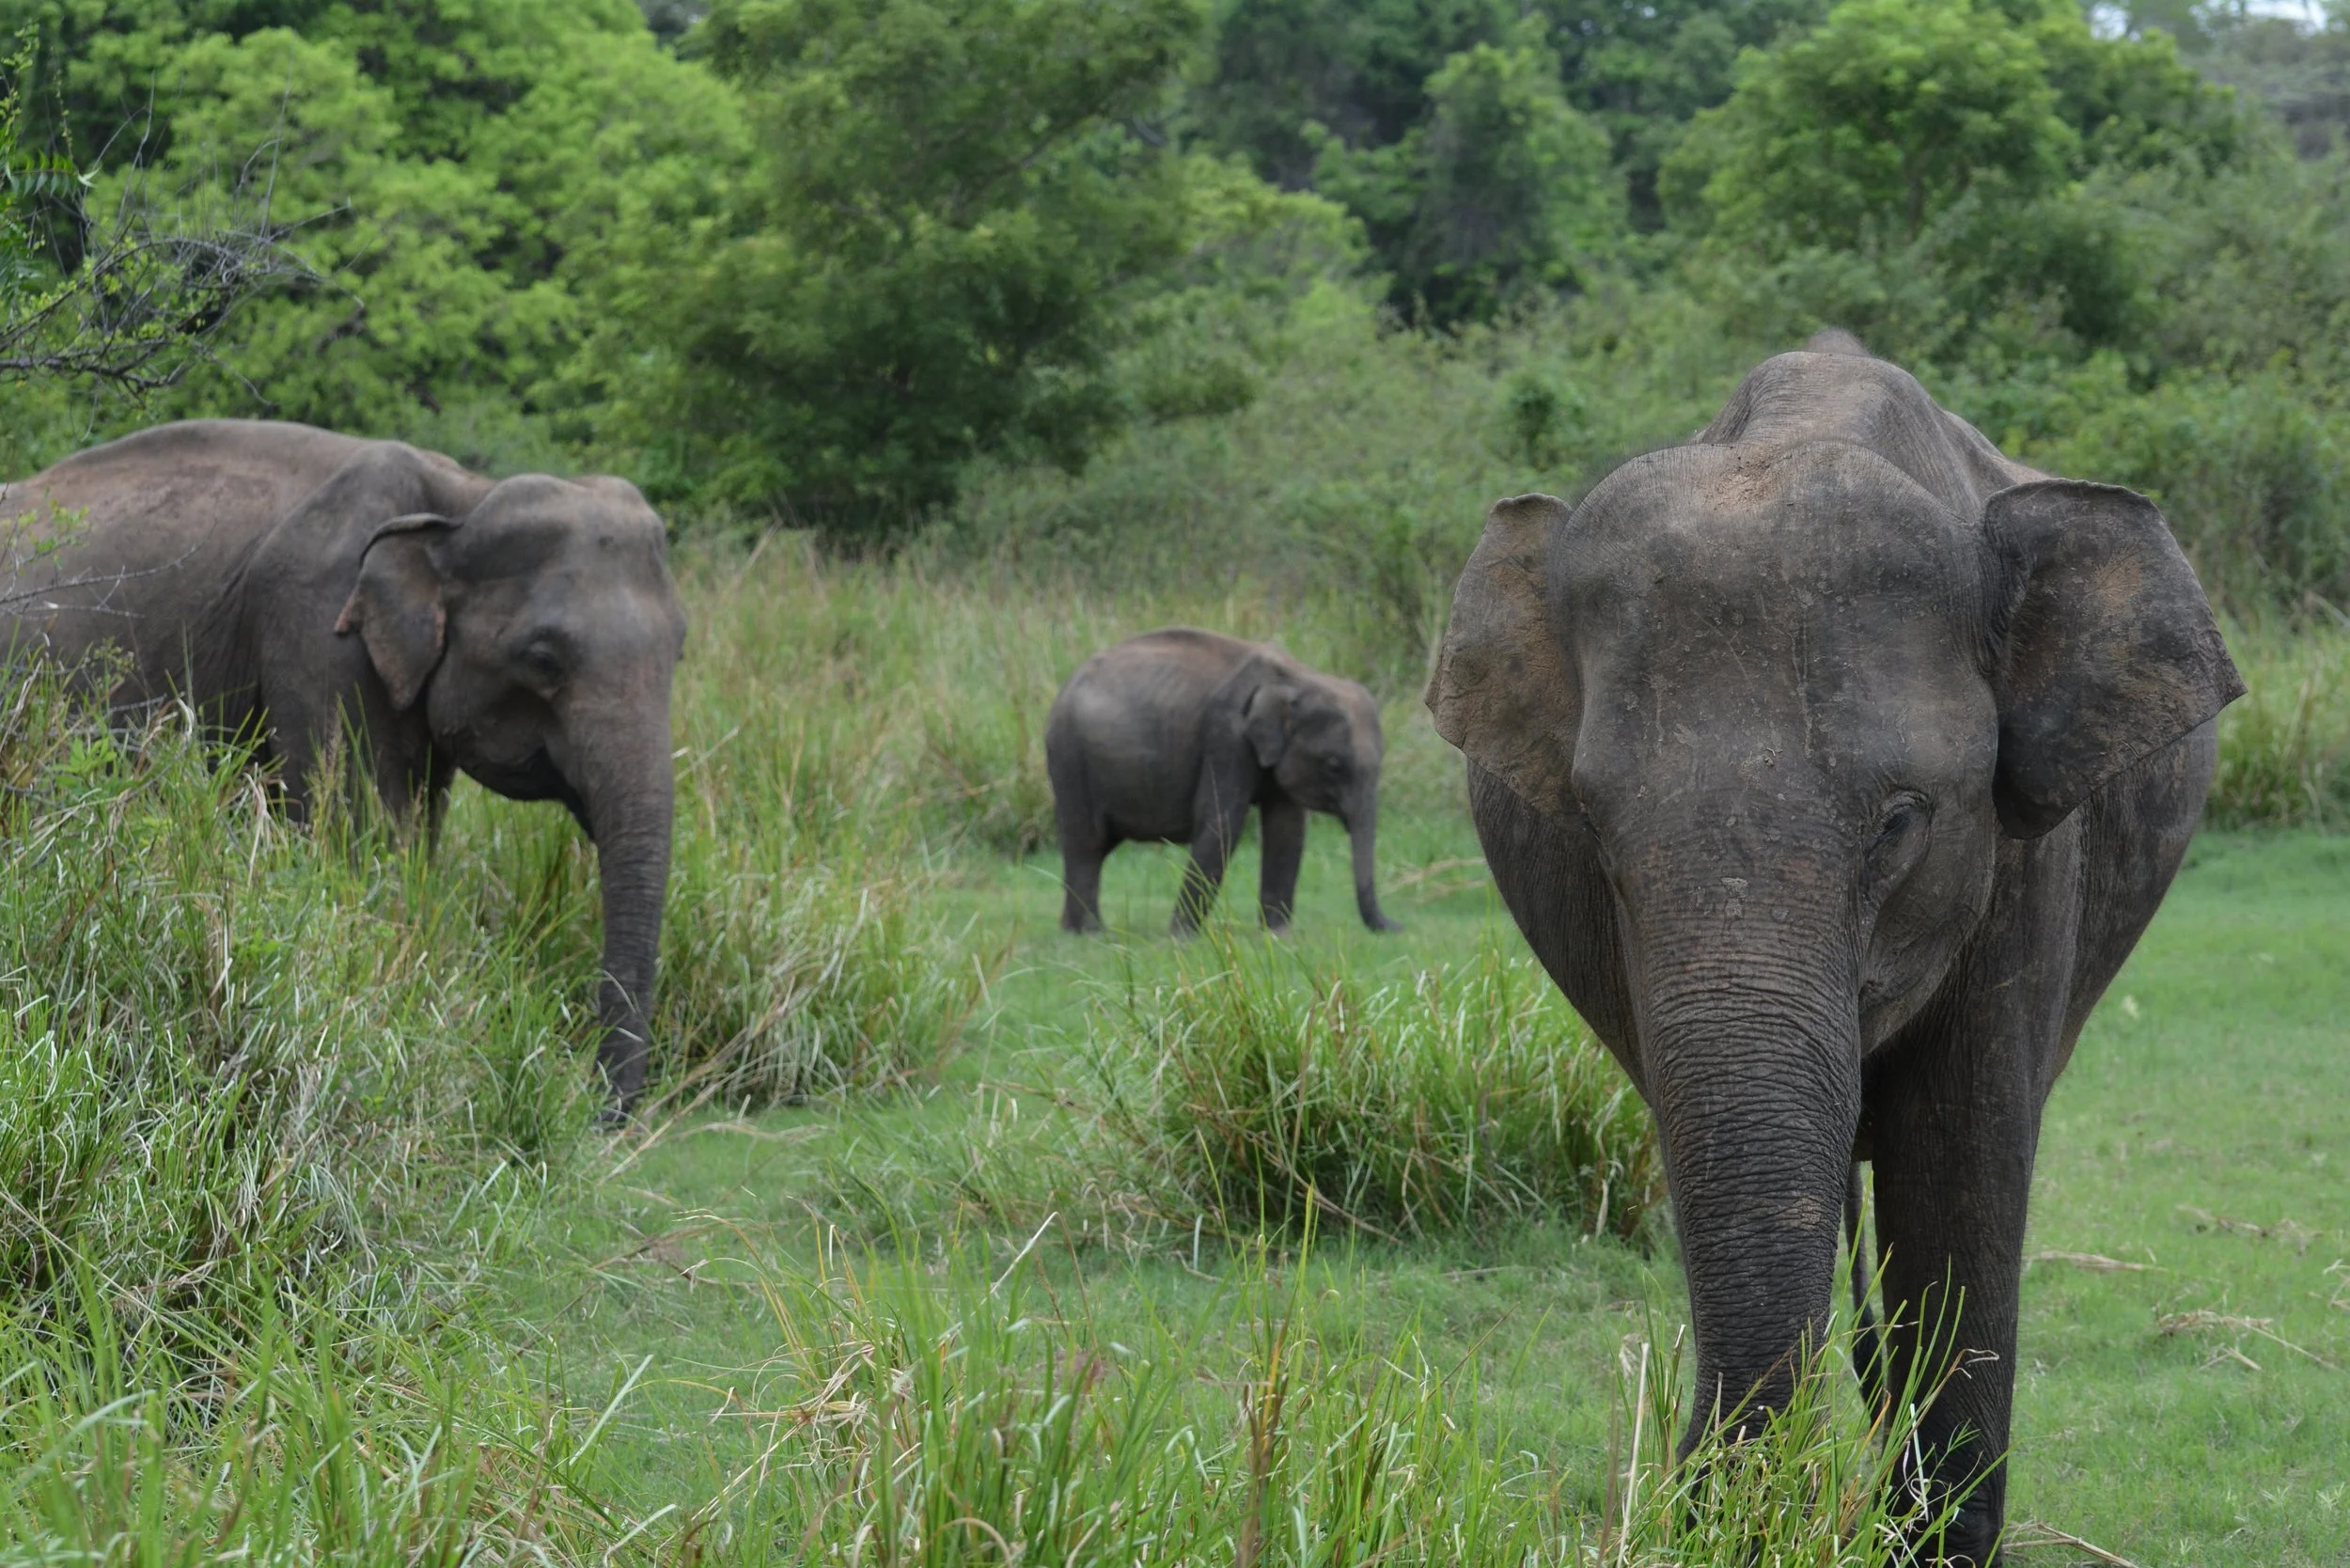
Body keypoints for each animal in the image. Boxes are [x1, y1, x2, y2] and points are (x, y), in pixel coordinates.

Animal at [1, 419, 687, 1107]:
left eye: (680, 651)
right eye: (543, 659)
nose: (599, 1110)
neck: (462, 498)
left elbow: (411, 836)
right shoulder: (316, 630)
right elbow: (356, 835)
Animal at [1045, 627, 1399, 935]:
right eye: (1334, 766)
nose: (1399, 927)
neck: (1296, 679)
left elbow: (1287, 830)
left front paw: (1278, 935)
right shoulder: (1226, 735)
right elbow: (1222, 823)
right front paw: (1182, 938)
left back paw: (1074, 929)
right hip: (1069, 756)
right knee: (1086, 842)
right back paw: (1091, 934)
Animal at [1424, 332, 2239, 1564]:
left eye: (1899, 822)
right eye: (1594, 832)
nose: (1698, 1499)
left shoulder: (2020, 867)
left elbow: (1957, 1167)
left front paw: (1930, 1538)